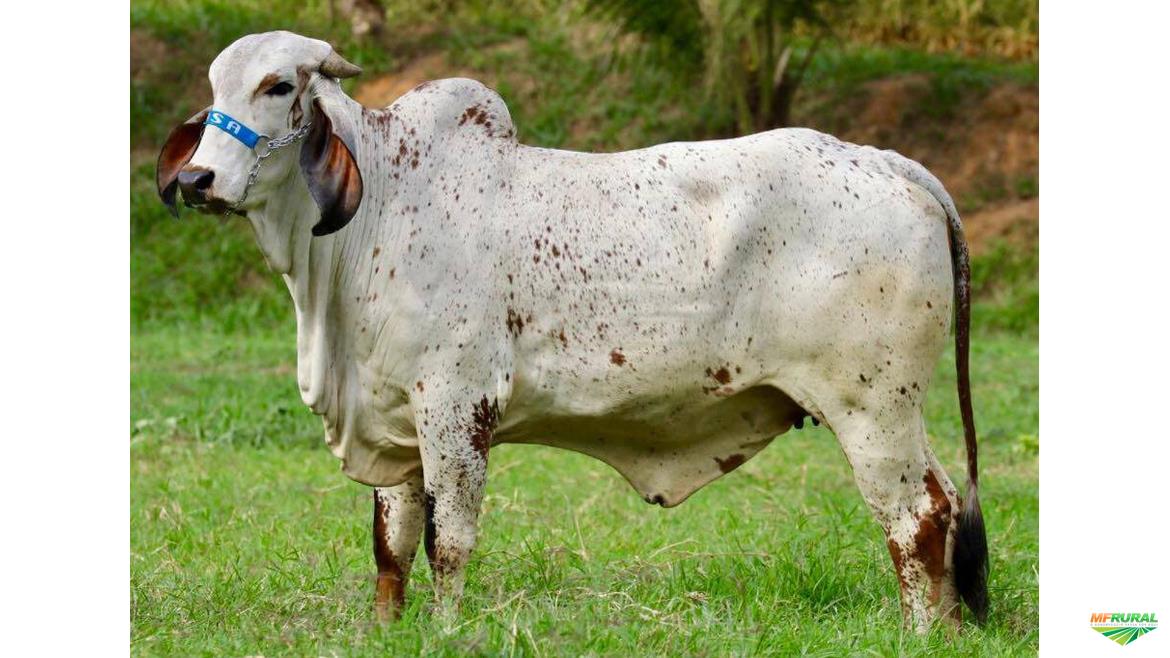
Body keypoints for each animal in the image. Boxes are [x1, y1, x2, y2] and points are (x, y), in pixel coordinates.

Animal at [156, 31, 988, 631]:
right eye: (215, 90)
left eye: (279, 86)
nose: (197, 180)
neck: (378, 212)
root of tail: (889, 163)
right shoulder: (392, 421)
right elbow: (392, 547)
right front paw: (385, 632)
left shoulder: (455, 411)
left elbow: (449, 543)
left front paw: (445, 632)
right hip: (895, 412)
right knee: (946, 502)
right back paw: (948, 629)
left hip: (870, 408)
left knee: (915, 518)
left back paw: (919, 634)